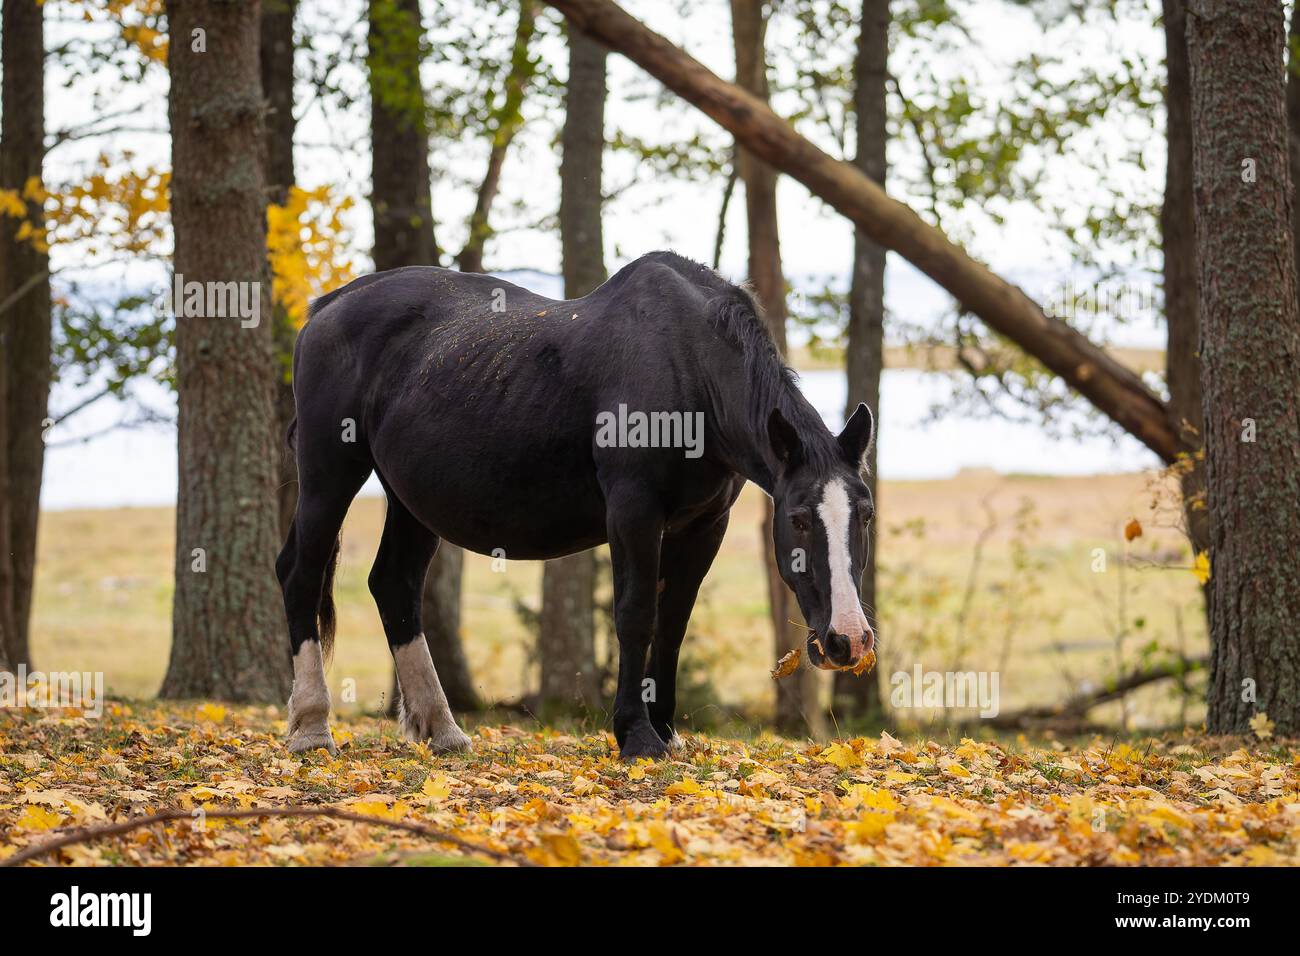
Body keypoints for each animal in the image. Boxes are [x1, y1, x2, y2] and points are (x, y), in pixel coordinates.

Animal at [276, 251, 877, 760]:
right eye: (798, 520)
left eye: (866, 515)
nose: (848, 640)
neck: (686, 368)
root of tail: (327, 308)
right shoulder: (633, 512)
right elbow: (636, 615)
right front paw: (636, 735)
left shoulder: (705, 525)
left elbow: (673, 622)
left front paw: (666, 730)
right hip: (330, 472)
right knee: (301, 573)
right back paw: (312, 728)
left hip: (411, 500)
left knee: (394, 585)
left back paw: (441, 729)